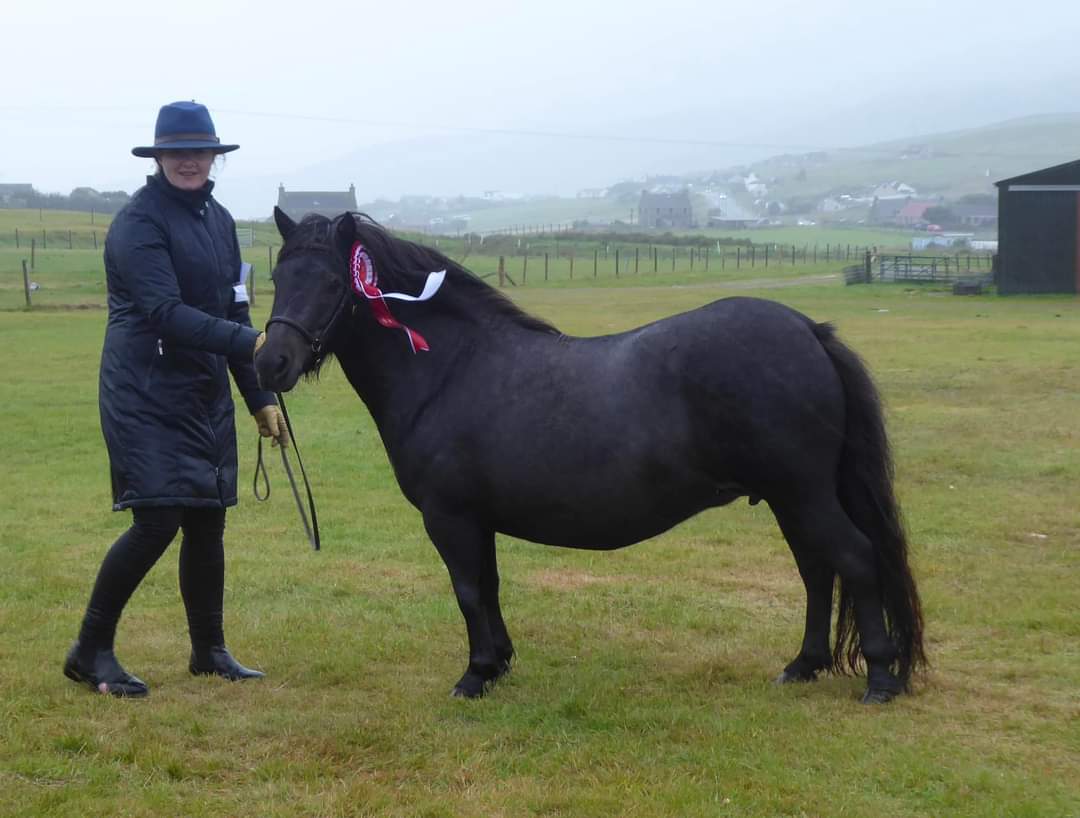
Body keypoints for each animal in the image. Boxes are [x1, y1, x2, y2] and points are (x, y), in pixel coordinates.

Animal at [255, 208, 926, 704]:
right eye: (279, 278)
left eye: (333, 283)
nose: (270, 364)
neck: (449, 368)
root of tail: (808, 330)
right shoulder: (477, 519)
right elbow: (489, 587)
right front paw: (499, 663)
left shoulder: (450, 518)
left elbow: (468, 590)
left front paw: (474, 675)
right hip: (793, 497)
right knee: (816, 570)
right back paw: (803, 665)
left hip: (802, 492)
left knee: (853, 559)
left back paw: (880, 679)